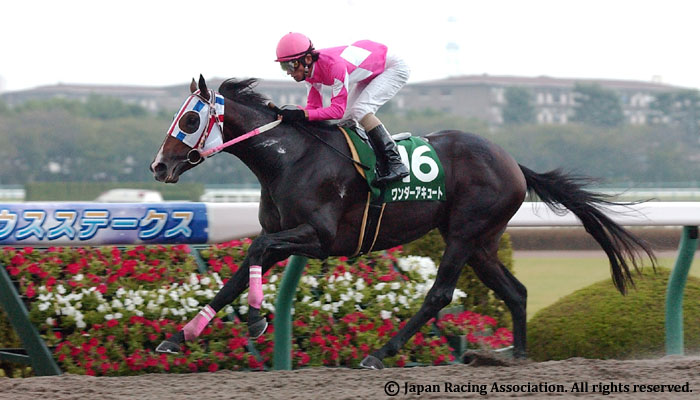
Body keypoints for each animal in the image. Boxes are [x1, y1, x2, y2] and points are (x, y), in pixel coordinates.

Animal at [149, 75, 656, 369]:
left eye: (190, 119)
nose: (159, 166)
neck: (290, 158)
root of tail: (513, 163)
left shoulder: (318, 238)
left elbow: (254, 252)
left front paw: (255, 321)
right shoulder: (285, 236)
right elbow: (237, 274)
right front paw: (179, 336)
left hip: (465, 233)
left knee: (439, 294)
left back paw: (379, 353)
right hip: (482, 242)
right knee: (516, 292)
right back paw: (517, 356)